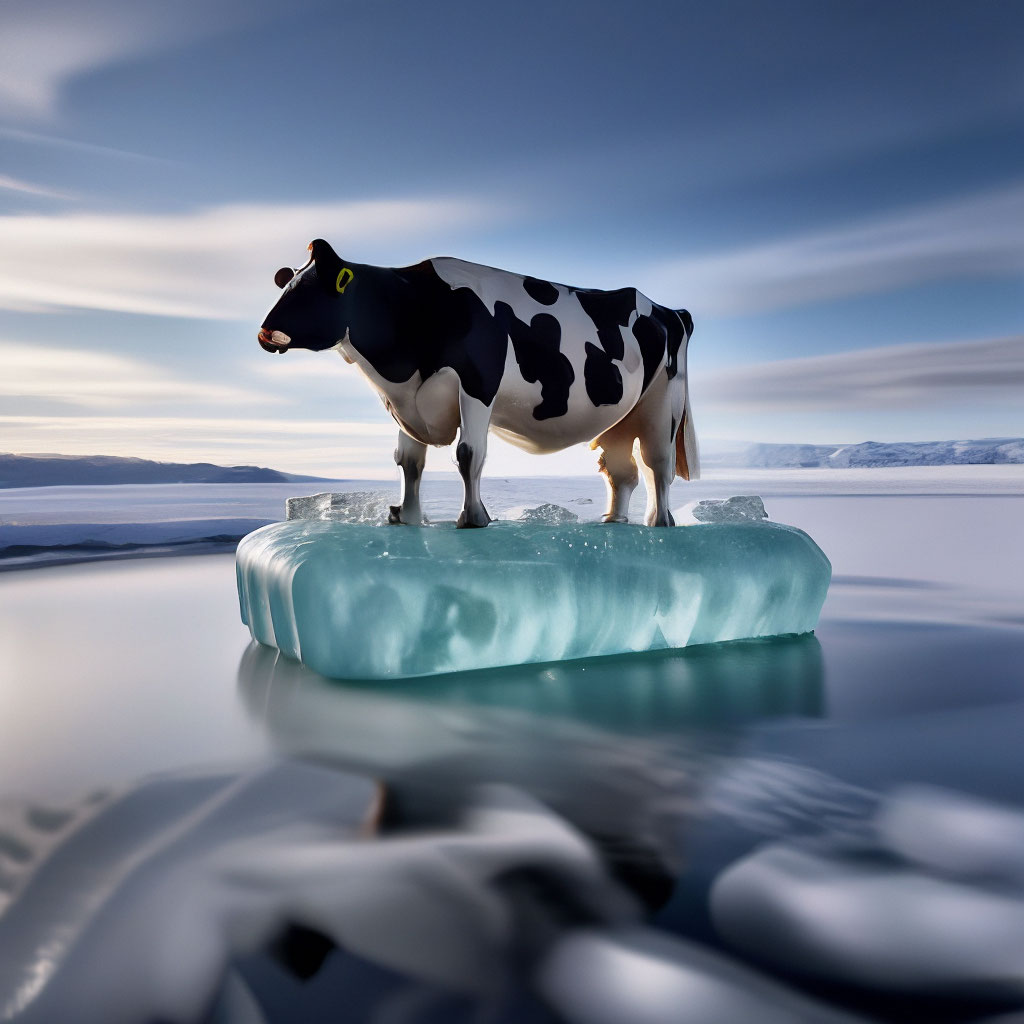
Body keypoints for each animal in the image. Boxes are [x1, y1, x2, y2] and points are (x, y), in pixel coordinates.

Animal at [258, 239, 699, 528]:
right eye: (286, 286)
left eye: (310, 292)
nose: (265, 333)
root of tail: (670, 310)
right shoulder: (403, 401)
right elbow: (409, 462)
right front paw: (408, 517)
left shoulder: (477, 384)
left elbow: (468, 454)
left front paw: (472, 518)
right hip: (621, 415)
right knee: (620, 470)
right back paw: (613, 520)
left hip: (663, 402)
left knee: (657, 465)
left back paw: (660, 522)